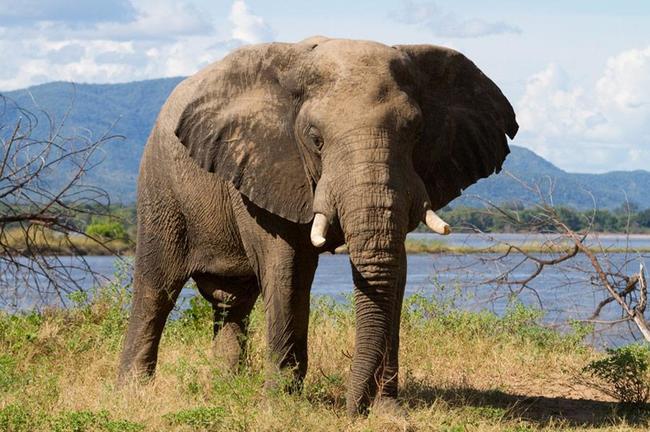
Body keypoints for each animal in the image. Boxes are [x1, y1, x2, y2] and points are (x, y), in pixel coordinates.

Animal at [117, 36, 517, 415]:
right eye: (316, 139)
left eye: (415, 132)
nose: (354, 409)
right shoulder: (265, 165)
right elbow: (287, 269)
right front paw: (280, 406)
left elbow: (397, 271)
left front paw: (389, 412)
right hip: (160, 186)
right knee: (157, 287)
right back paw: (135, 390)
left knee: (232, 302)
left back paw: (226, 386)